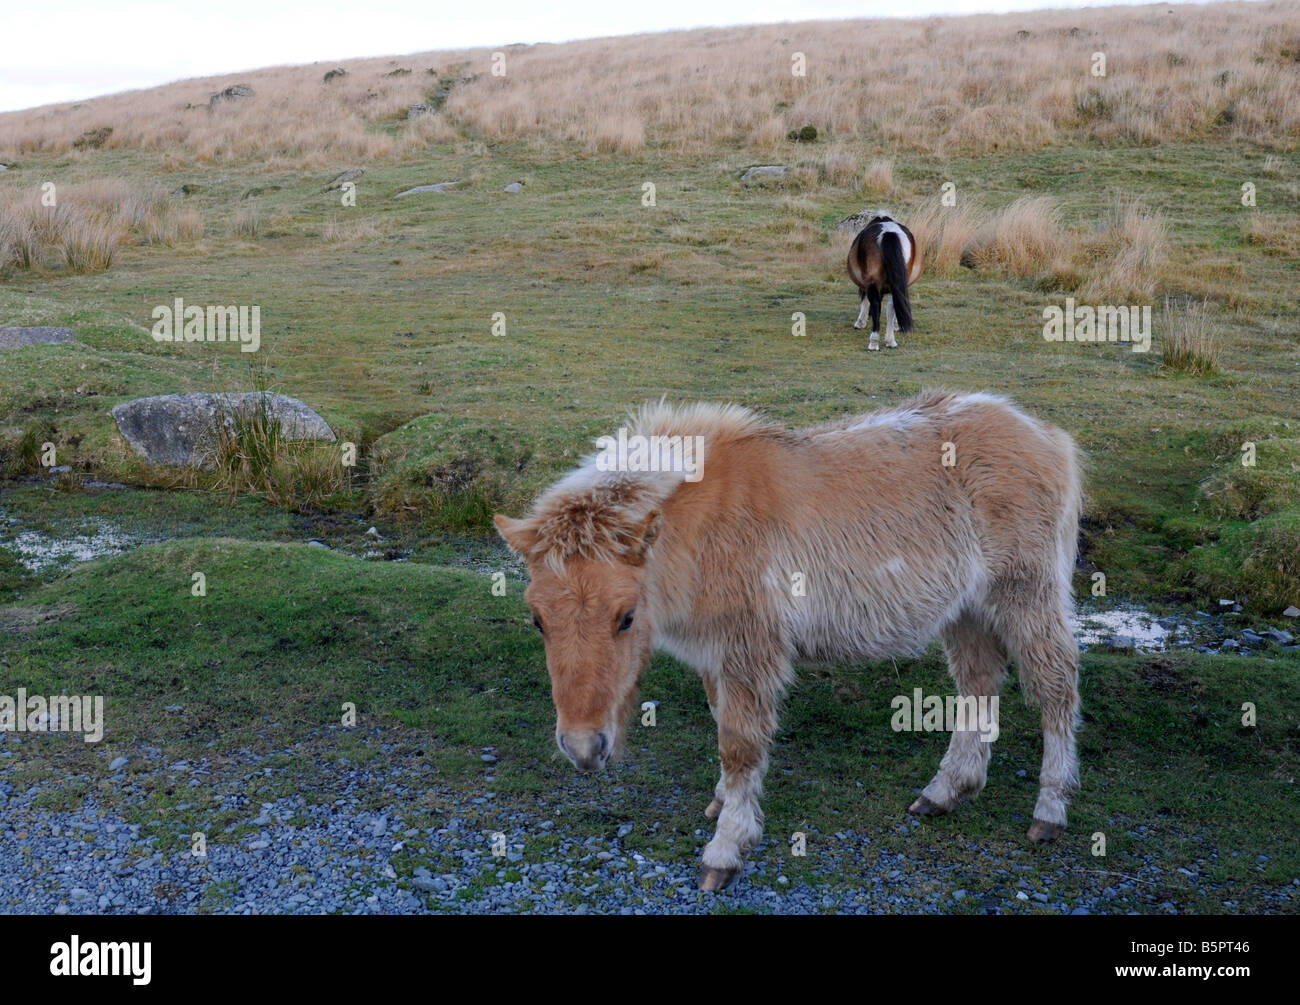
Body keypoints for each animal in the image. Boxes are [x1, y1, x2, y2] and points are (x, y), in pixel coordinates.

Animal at [494, 389, 1083, 891]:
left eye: (626, 617)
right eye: (537, 620)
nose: (583, 750)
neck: (704, 526)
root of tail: (1044, 433)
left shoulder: (750, 649)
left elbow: (739, 744)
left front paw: (725, 850)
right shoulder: (717, 654)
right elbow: (723, 723)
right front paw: (722, 802)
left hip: (1026, 595)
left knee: (1055, 688)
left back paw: (1049, 812)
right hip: (967, 610)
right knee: (979, 686)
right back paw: (944, 793)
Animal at [847, 212, 923, 350]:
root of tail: (889, 232)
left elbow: (865, 300)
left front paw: (860, 322)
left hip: (872, 282)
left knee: (877, 305)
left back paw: (874, 342)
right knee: (891, 306)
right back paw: (890, 341)